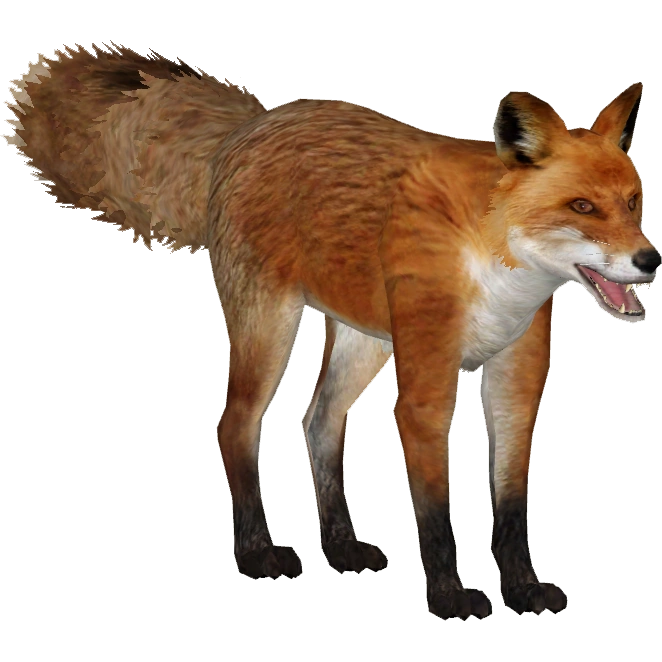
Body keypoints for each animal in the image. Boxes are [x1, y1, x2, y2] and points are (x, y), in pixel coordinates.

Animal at [4, 42, 658, 621]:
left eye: (633, 202)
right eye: (581, 207)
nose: (651, 259)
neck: (493, 263)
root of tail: (257, 122)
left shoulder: (516, 381)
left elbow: (511, 504)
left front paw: (521, 590)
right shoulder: (426, 386)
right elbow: (437, 512)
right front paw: (448, 600)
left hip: (363, 342)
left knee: (316, 421)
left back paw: (339, 546)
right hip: (271, 328)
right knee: (235, 427)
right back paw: (257, 555)